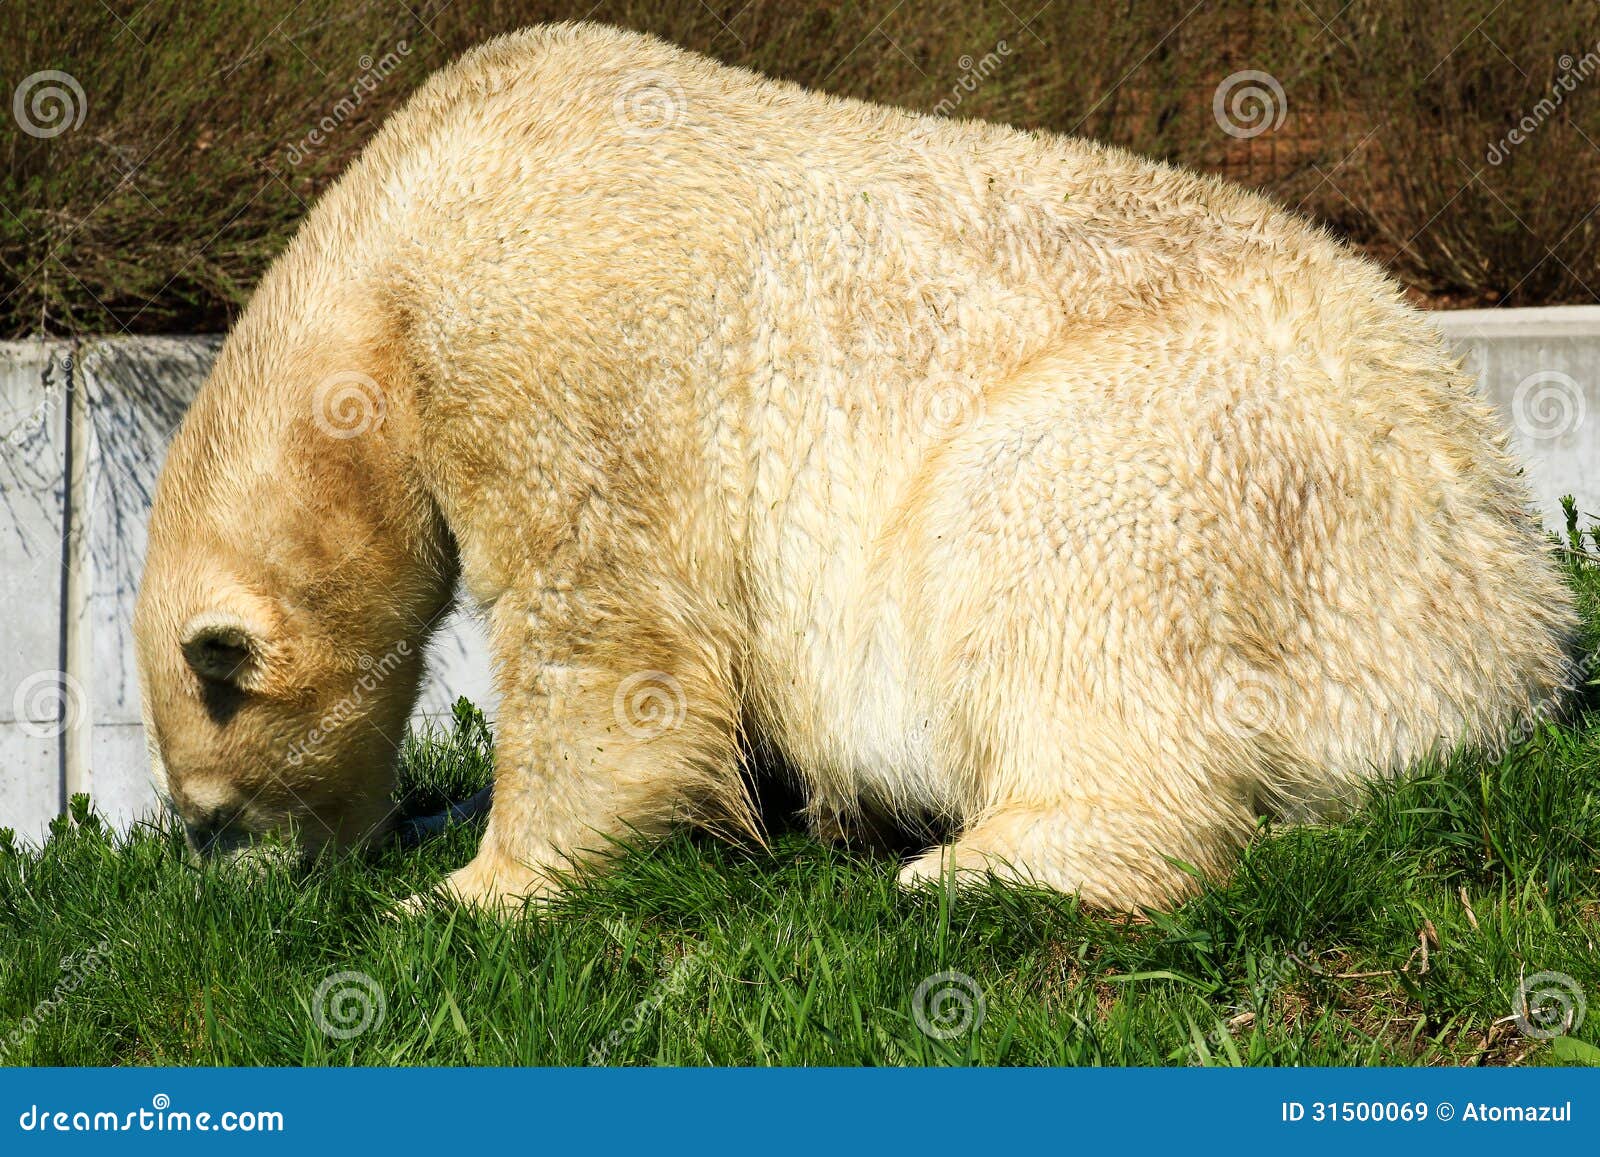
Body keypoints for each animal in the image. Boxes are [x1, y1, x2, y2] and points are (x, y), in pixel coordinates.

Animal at [133, 22, 1577, 911]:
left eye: (209, 810)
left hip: (1216, 475)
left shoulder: (546, 329)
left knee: (1063, 580)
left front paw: (474, 890)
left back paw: (975, 863)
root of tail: (1510, 636)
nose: (235, 888)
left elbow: (607, 637)